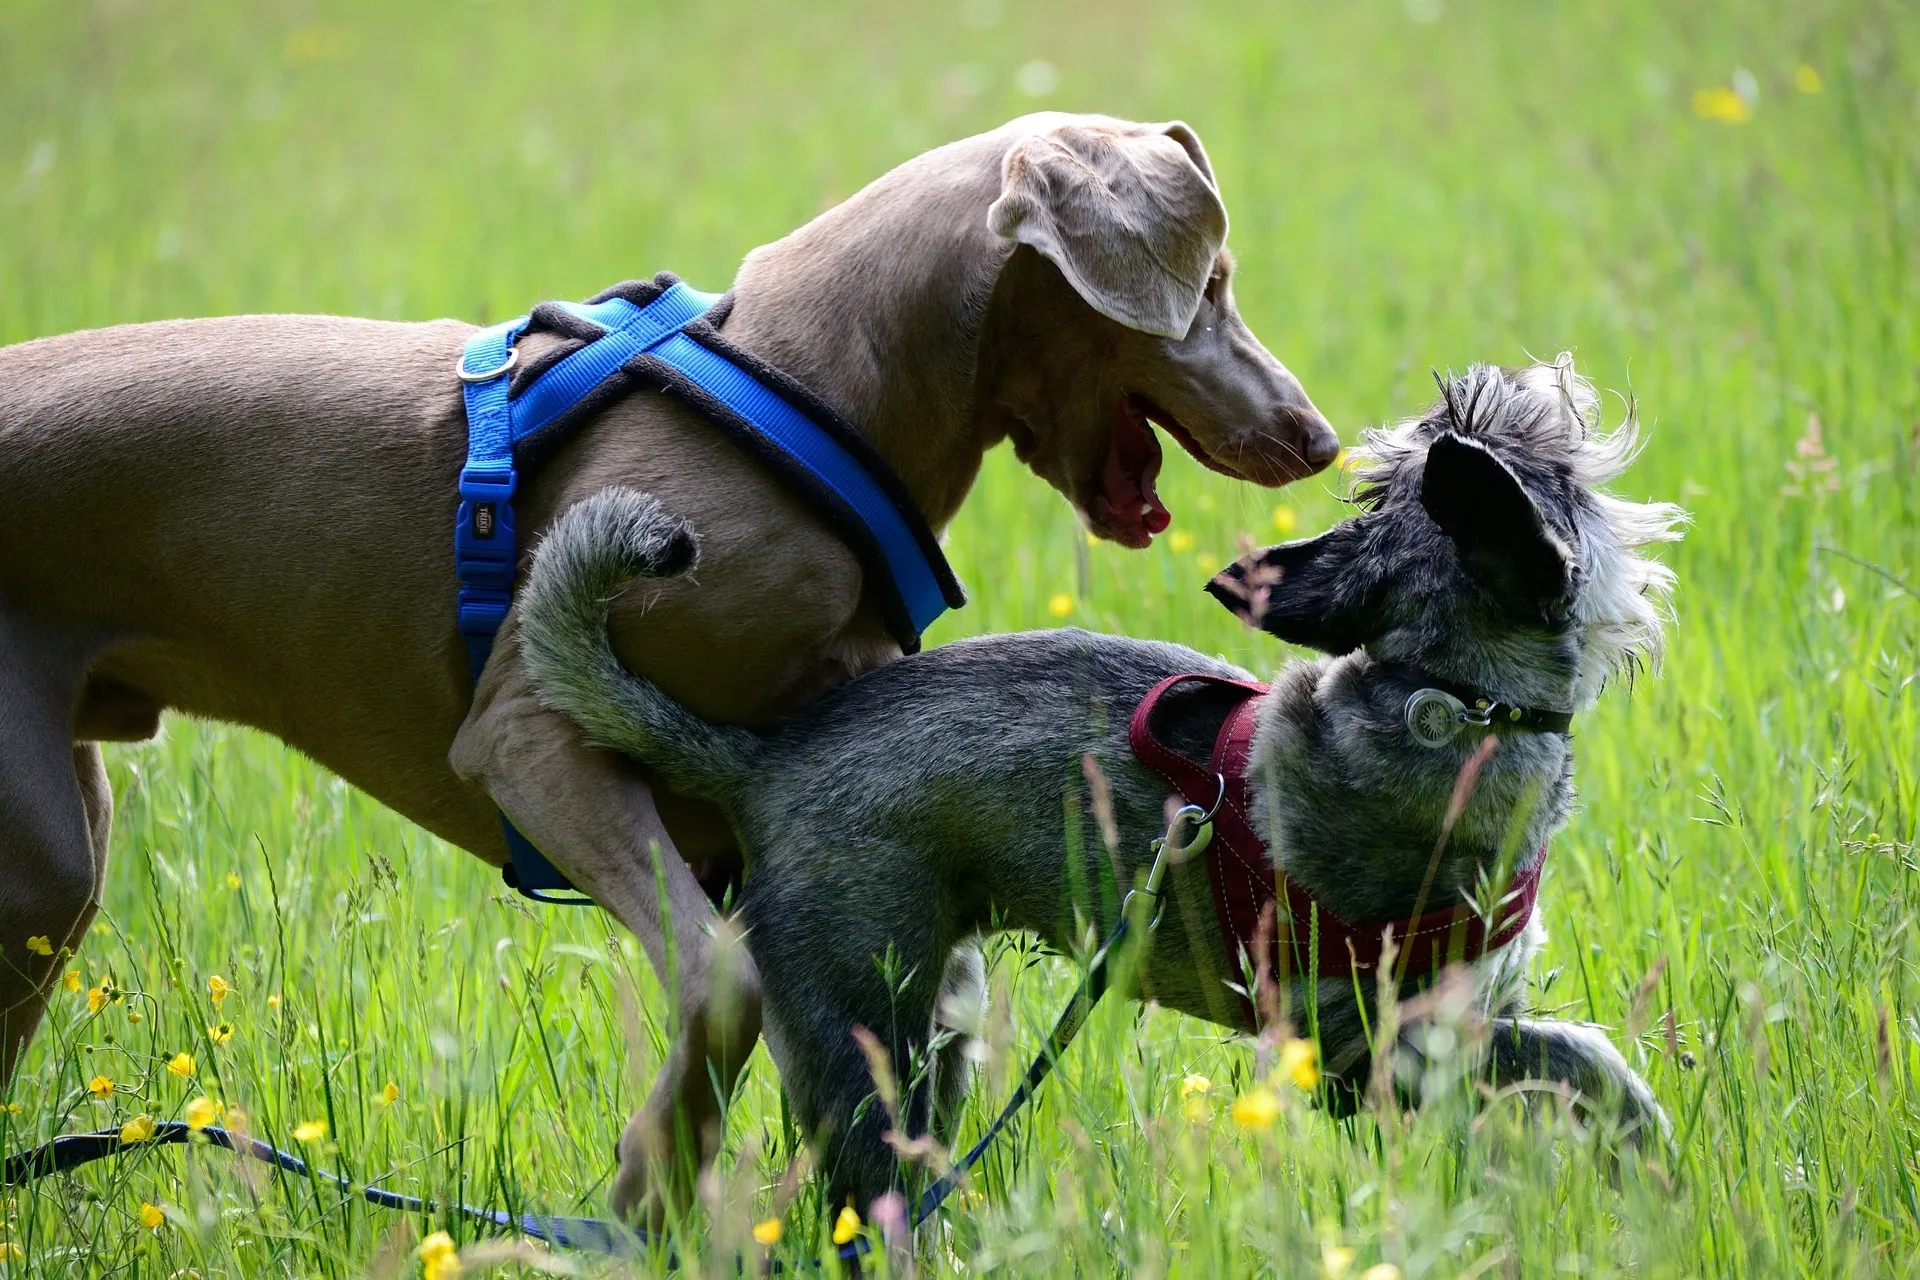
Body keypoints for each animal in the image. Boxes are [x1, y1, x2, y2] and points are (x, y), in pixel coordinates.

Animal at [3, 112, 1336, 1212]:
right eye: (1211, 283)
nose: (1317, 437)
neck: (810, 384)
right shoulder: (533, 741)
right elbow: (722, 983)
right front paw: (652, 1184)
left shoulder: (796, 808)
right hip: (46, 859)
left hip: (65, 852)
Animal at [522, 355, 1681, 1220]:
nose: (1524, 380)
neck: (1449, 695)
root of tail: (762, 762)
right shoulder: (1371, 1052)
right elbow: (1580, 1057)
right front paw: (1649, 1156)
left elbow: (1567, 1070)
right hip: (863, 1032)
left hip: (935, 1029)